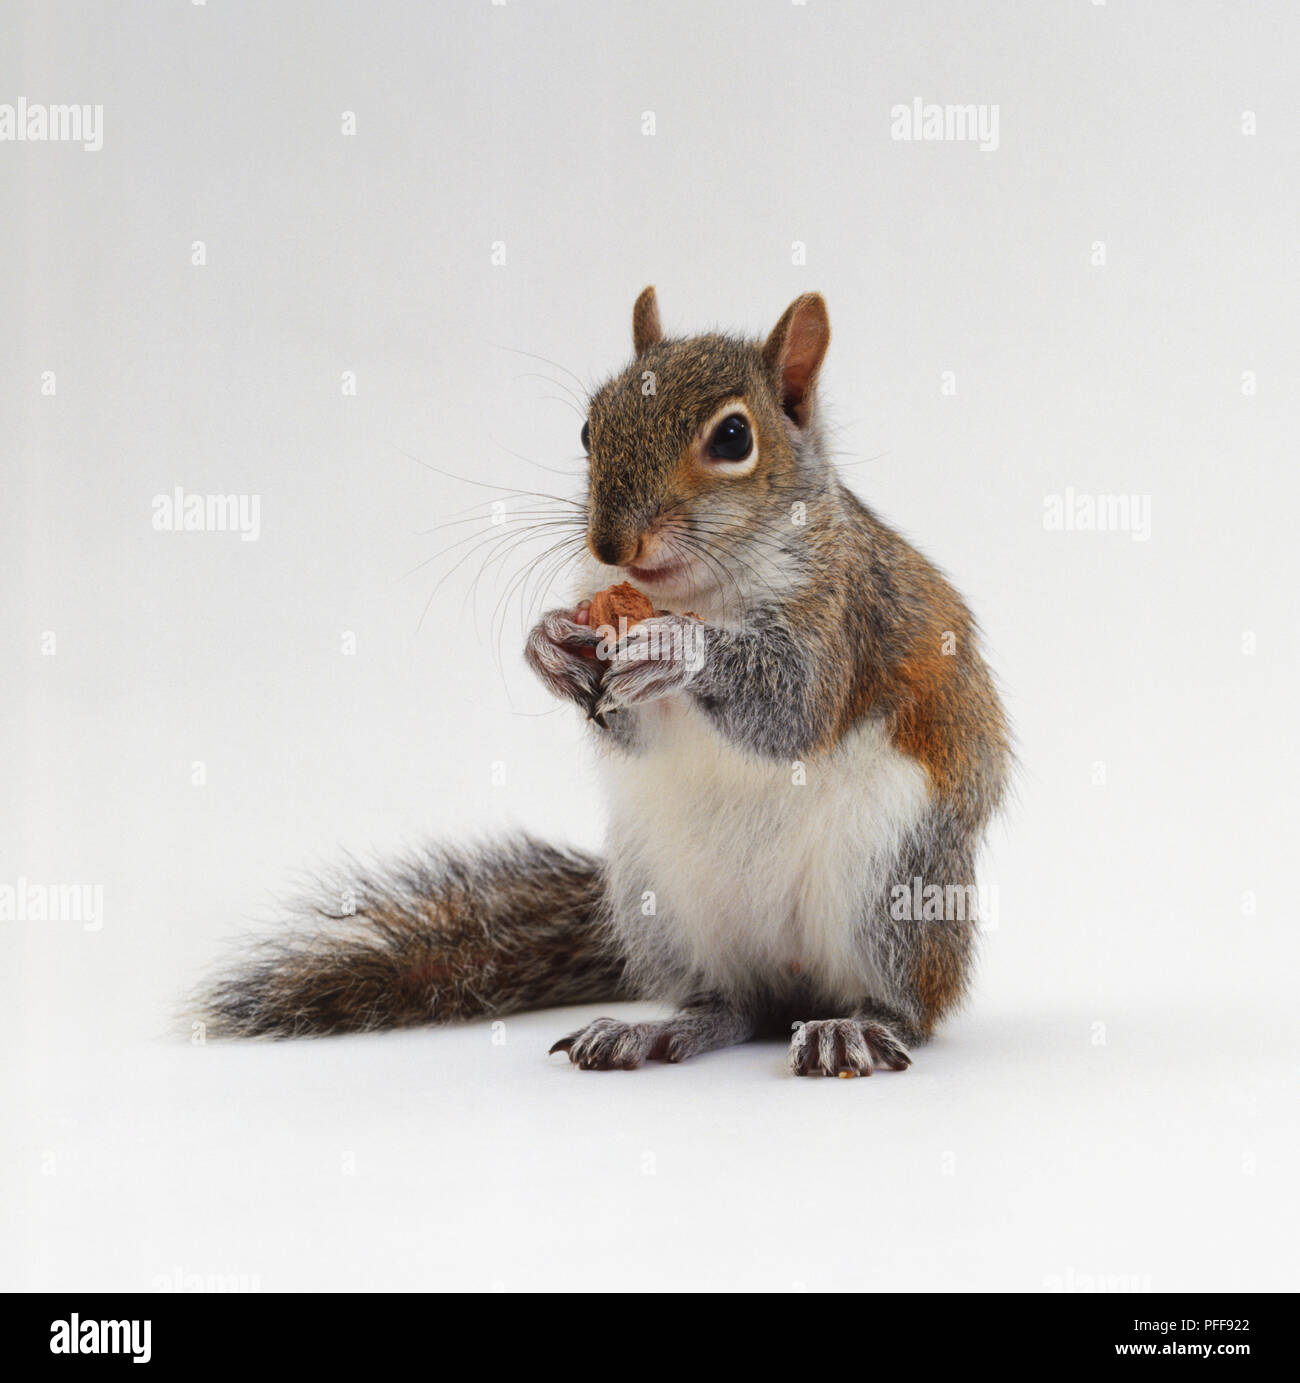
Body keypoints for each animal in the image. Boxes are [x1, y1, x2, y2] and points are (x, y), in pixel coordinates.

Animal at [199, 288, 1011, 1077]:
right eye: (590, 429)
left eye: (733, 438)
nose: (610, 543)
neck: (697, 589)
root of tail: (798, 985)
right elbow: (624, 723)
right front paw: (549, 644)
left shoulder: (843, 611)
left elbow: (796, 708)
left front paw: (677, 645)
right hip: (661, 900)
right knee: (733, 1004)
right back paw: (653, 1030)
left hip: (897, 888)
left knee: (904, 1004)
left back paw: (855, 1027)